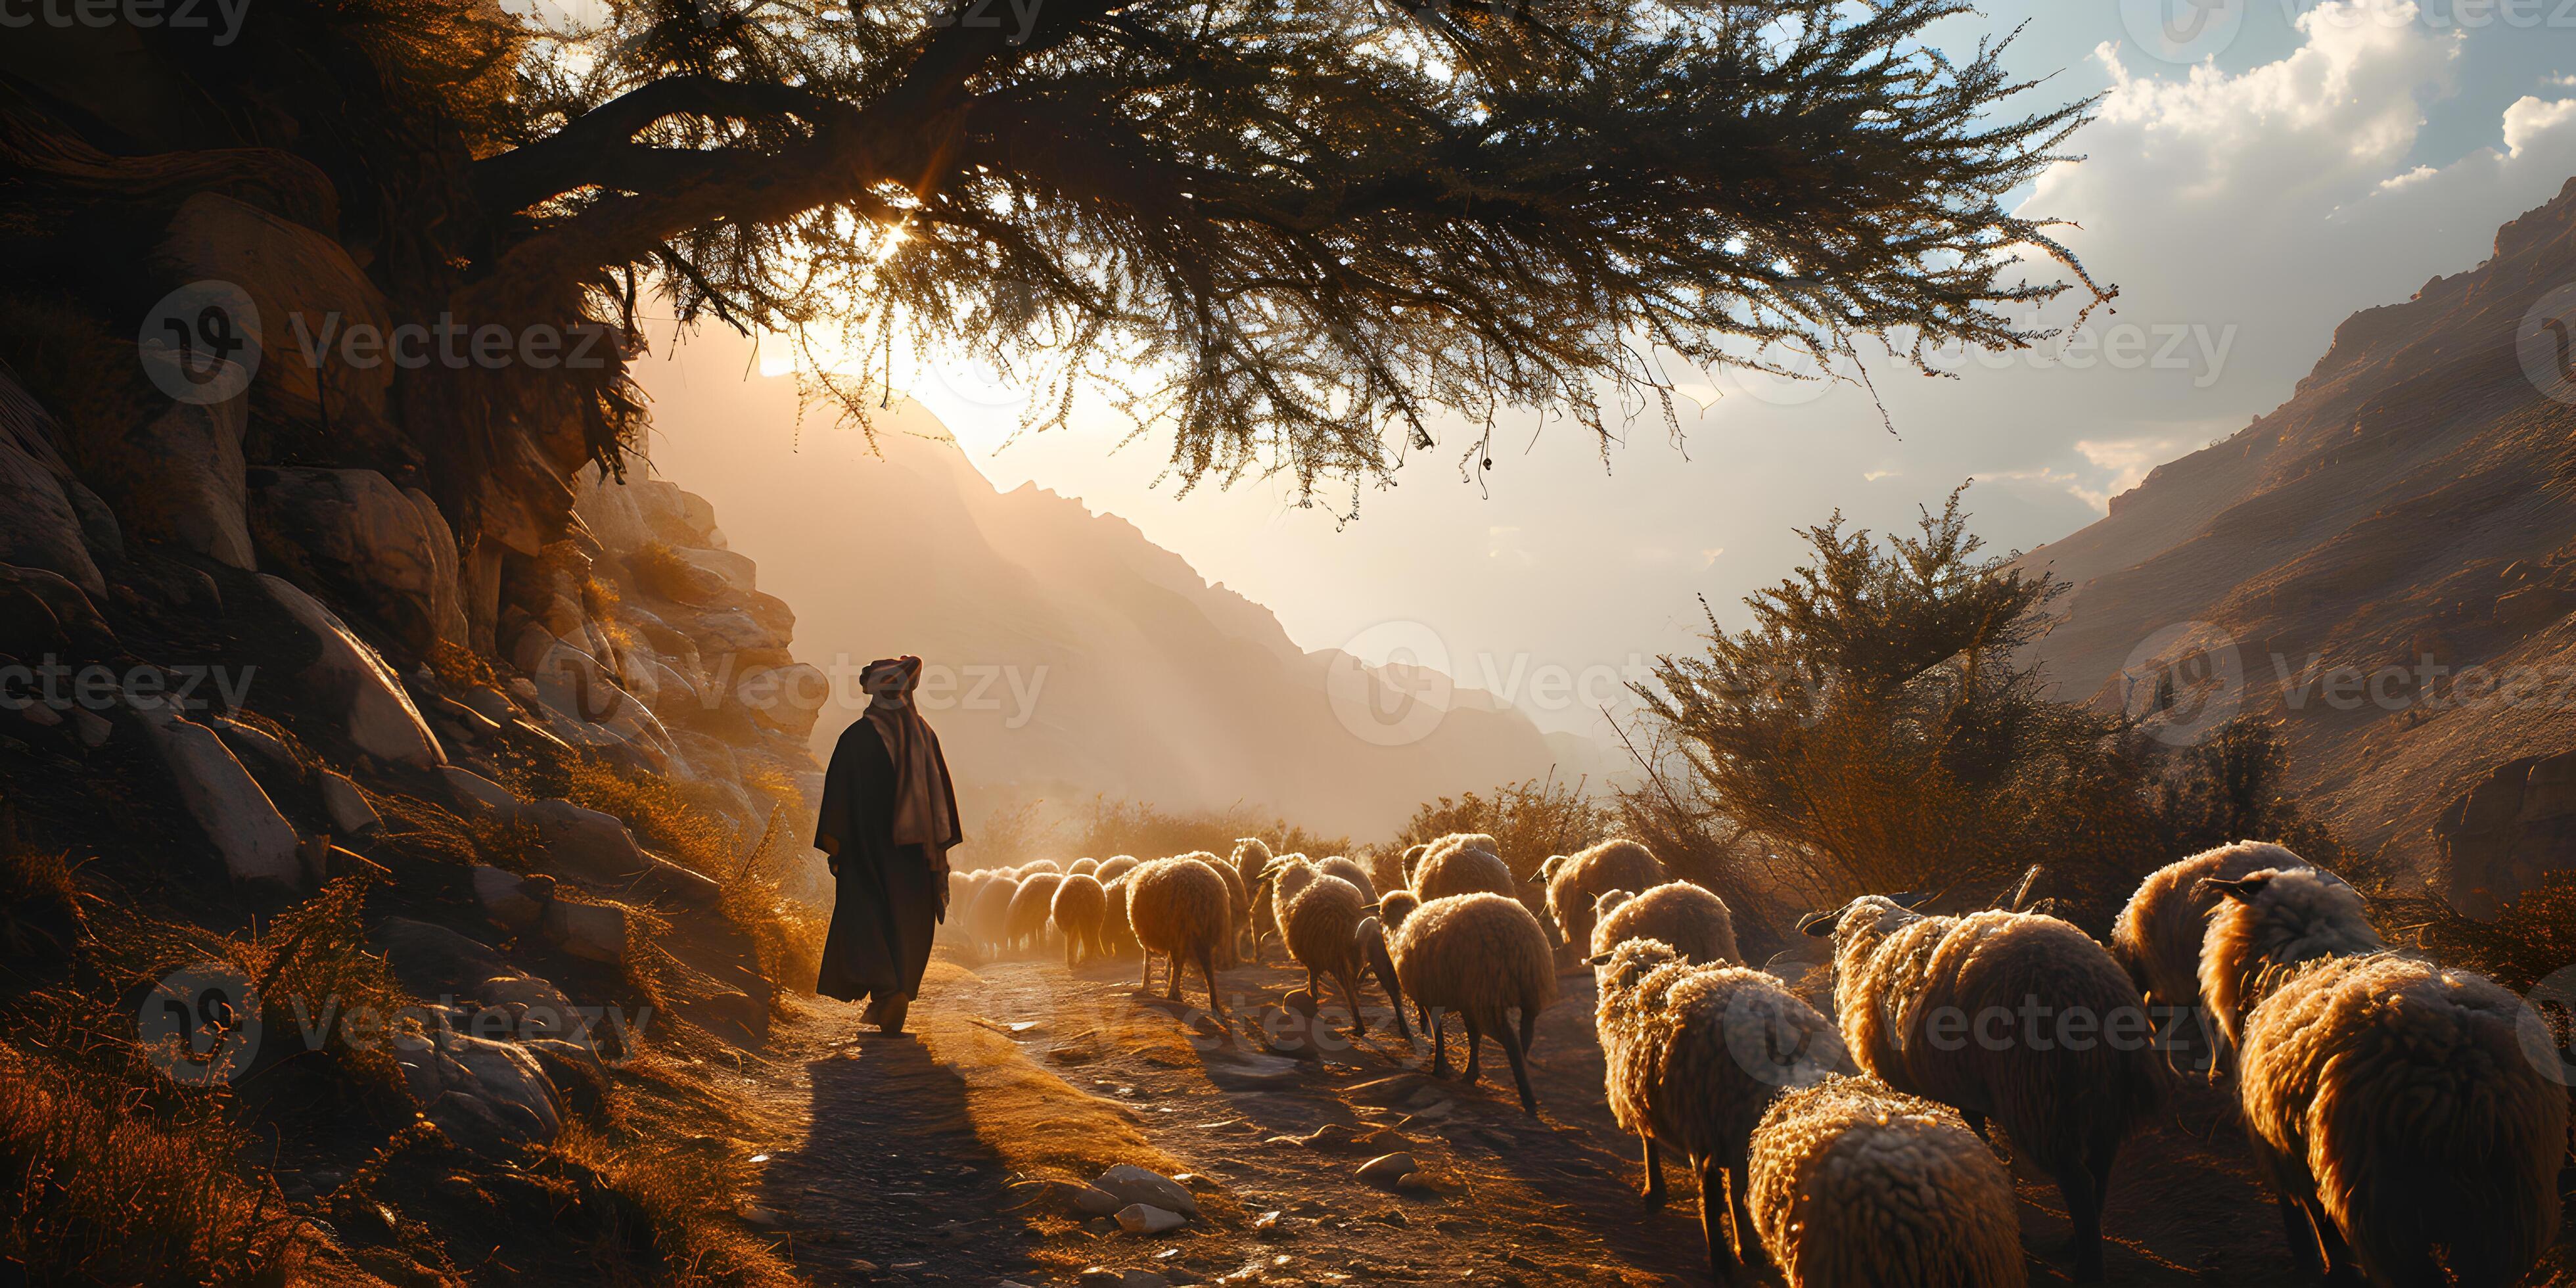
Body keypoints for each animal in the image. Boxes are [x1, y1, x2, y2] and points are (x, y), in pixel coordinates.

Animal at [1126, 856, 1235, 1018]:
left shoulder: (1148, 934)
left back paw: (1173, 993)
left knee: (1180, 962)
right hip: (1203, 933)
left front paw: (1146, 985)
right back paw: (1213, 1004)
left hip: (1181, 928)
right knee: (1207, 967)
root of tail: (1200, 892)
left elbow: (1148, 959)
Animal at [1387, 892, 1557, 1113]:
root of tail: (1513, 936)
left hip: (1488, 994)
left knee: (1511, 1041)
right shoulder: (1463, 1002)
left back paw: (1528, 1101)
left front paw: (1440, 1068)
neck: (1404, 924)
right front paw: (1470, 1074)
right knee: (1525, 1037)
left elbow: (1440, 1034)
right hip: (1528, 993)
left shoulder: (1435, 996)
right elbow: (1473, 1036)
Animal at [1592, 937, 1851, 1284]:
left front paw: (1654, 1192)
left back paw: (1721, 1261)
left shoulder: (1654, 1099)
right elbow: (1734, 1189)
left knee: (1712, 1195)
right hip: (1733, 1125)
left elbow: (1650, 1141)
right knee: (1734, 1188)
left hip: (1711, 1118)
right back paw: (1745, 1251)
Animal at [1801, 895, 2162, 1283]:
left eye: (1836, 934)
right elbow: (1976, 1125)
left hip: (2037, 1098)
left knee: (2078, 1182)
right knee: (2101, 1169)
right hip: (2100, 1100)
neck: (1872, 938)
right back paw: (2073, 1244)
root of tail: (2095, 996)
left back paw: (2086, 1268)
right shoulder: (1964, 1081)